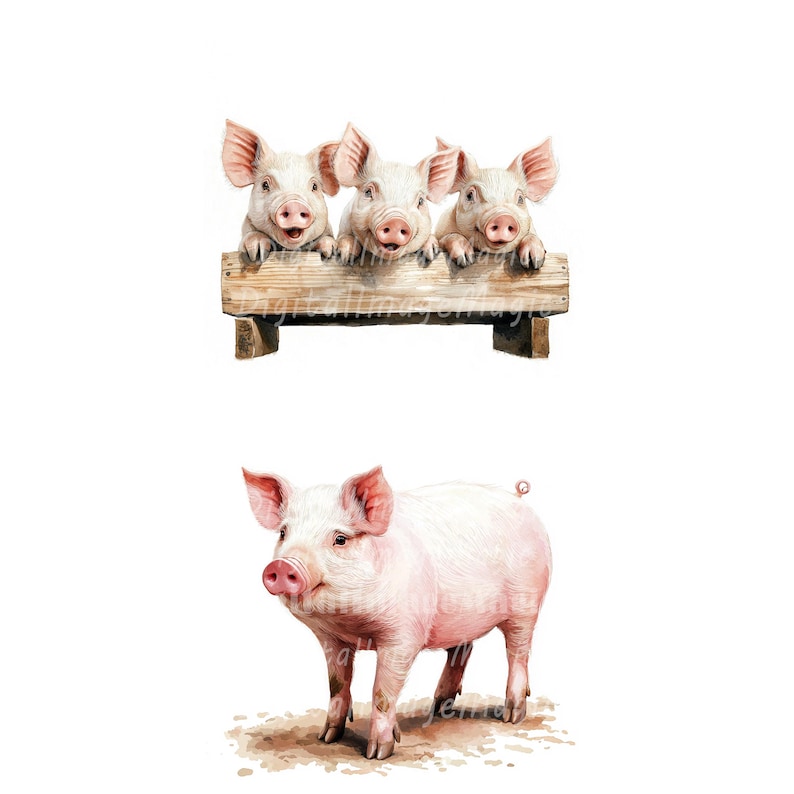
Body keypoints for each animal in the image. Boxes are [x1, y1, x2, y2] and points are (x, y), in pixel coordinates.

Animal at [242, 465, 551, 761]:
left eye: (340, 539)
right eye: (283, 533)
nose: (283, 565)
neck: (350, 623)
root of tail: (519, 499)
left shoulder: (402, 635)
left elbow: (382, 691)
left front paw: (378, 753)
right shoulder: (331, 638)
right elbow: (336, 683)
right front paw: (327, 737)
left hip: (527, 603)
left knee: (518, 653)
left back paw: (512, 715)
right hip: (462, 616)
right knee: (463, 649)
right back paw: (439, 708)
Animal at [434, 136, 558, 269]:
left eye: (520, 198)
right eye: (469, 195)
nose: (503, 217)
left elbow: (532, 237)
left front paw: (534, 262)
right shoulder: (440, 234)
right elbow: (449, 237)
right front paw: (466, 260)